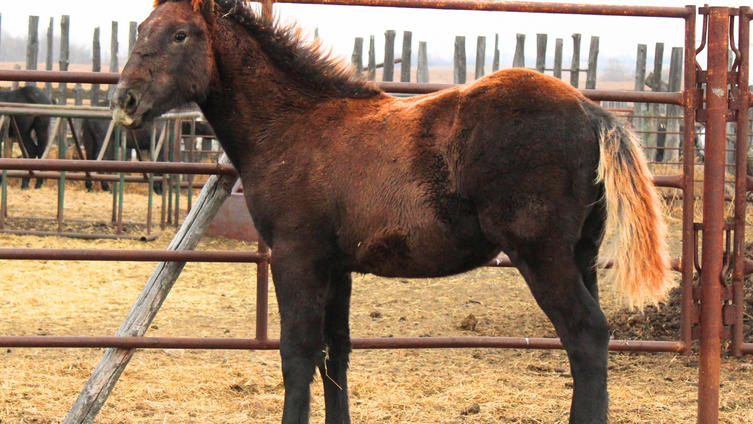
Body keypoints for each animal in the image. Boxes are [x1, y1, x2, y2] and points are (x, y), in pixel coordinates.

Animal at [113, 1, 671, 423]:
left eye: (180, 34)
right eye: (140, 28)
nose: (124, 100)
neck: (293, 125)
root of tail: (591, 110)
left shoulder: (295, 257)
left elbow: (297, 354)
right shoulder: (335, 266)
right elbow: (335, 353)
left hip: (541, 255)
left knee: (586, 336)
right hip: (581, 255)